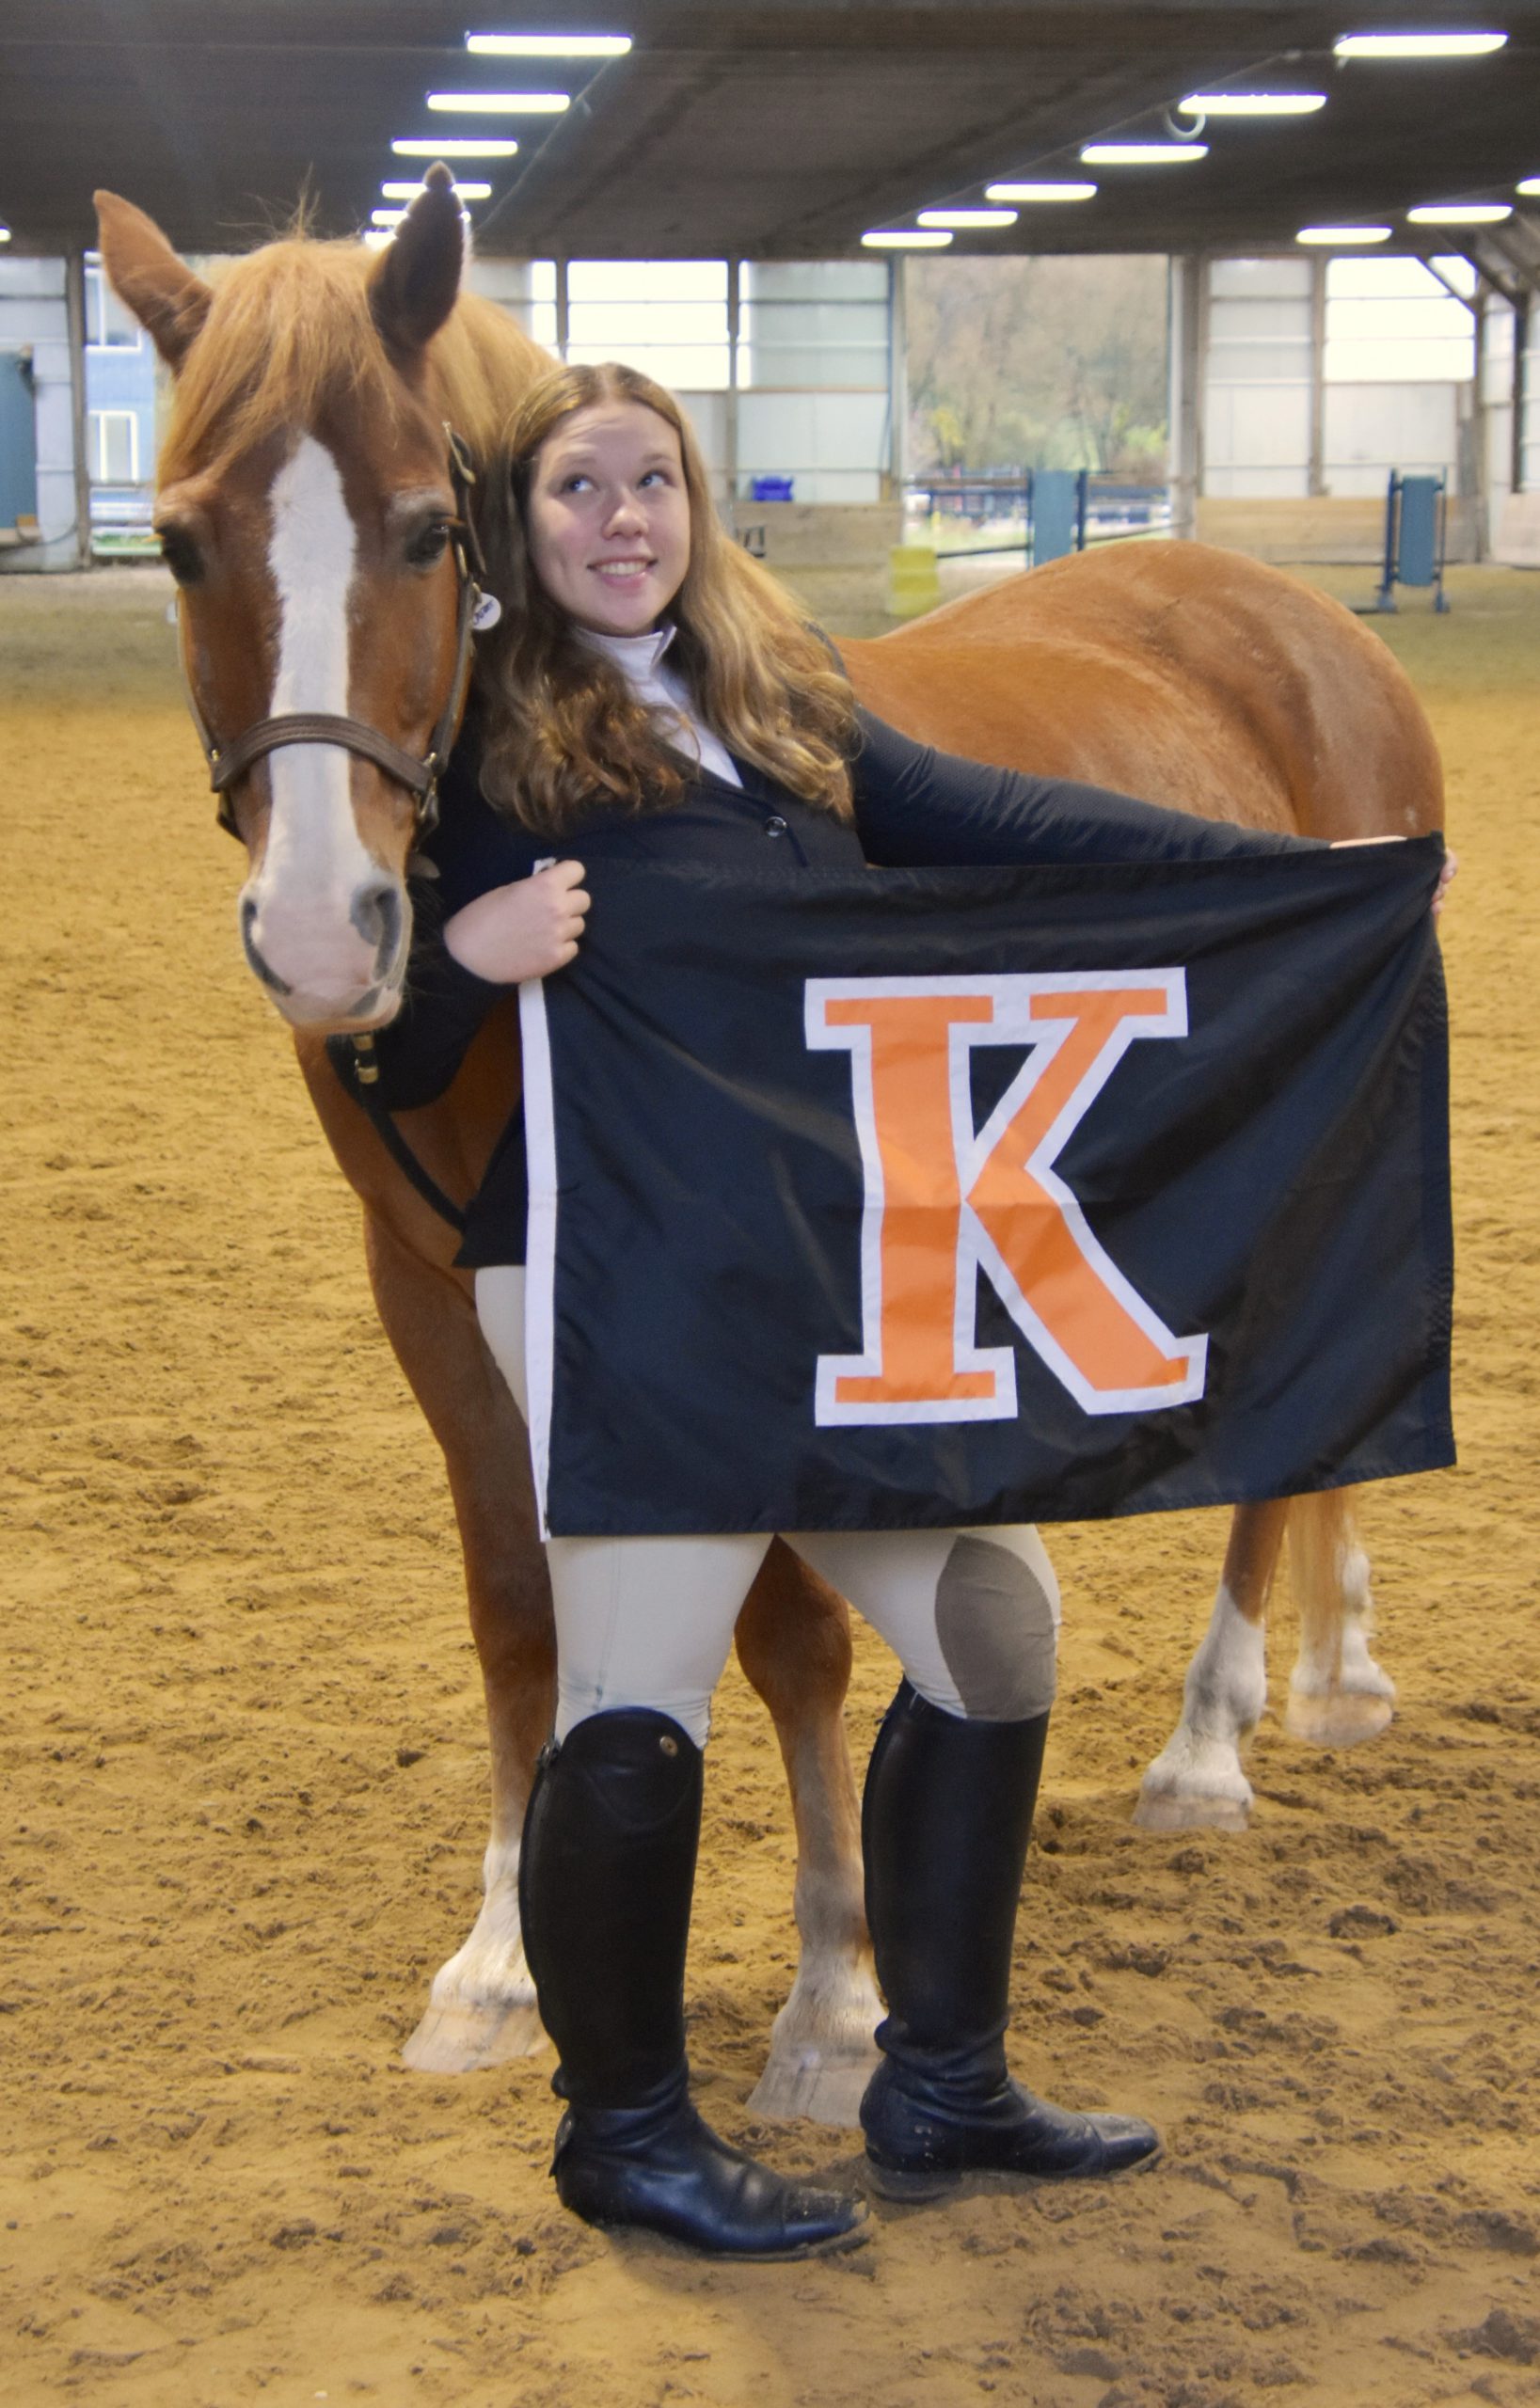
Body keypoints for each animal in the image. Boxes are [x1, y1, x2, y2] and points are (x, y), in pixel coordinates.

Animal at [93, 169, 1444, 2128]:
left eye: (428, 532)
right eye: (185, 546)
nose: (330, 937)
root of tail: (1304, 626)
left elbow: (790, 1633)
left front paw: (834, 1992)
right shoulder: (433, 1290)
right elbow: (519, 1607)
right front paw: (499, 1969)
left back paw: (1208, 1737)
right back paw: (1332, 1667)